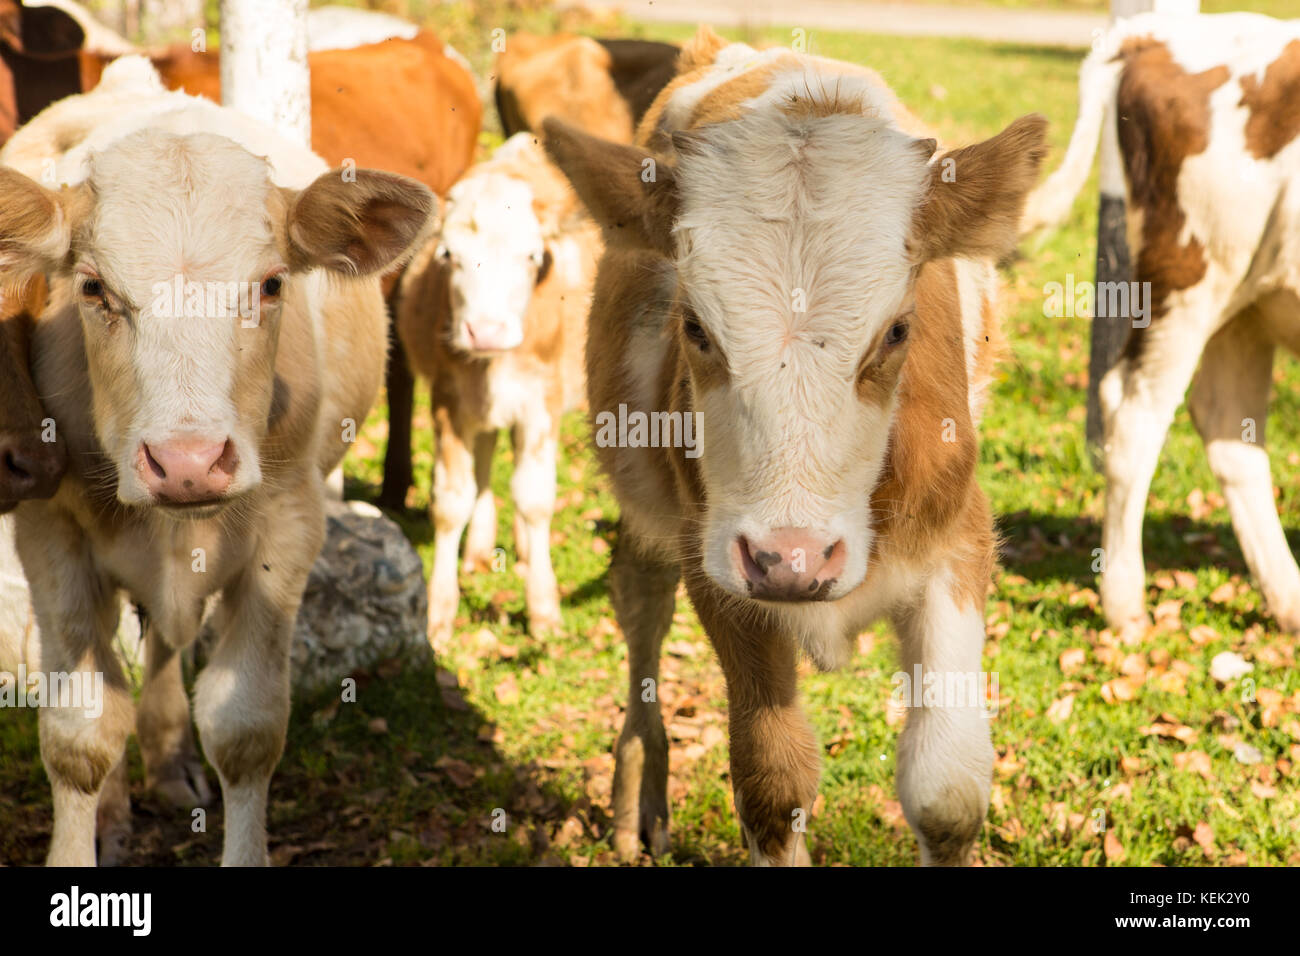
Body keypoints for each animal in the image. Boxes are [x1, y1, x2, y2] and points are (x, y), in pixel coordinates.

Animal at [0, 58, 433, 866]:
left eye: (271, 284)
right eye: (93, 288)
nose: (188, 462)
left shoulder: (289, 529)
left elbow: (244, 726)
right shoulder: (50, 532)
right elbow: (81, 734)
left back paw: (169, 763)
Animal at [395, 133, 598, 649]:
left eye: (531, 256)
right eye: (448, 255)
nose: (485, 332)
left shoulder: (542, 404)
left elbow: (535, 498)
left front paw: (544, 609)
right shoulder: (448, 401)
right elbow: (451, 501)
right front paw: (439, 613)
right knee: (485, 459)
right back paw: (480, 547)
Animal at [542, 27, 1046, 865]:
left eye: (898, 331)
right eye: (695, 326)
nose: (794, 559)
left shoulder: (959, 534)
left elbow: (947, 790)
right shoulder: (719, 562)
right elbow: (772, 782)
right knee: (640, 601)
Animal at [1021, 12, 1300, 638]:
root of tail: (1159, 31)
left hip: (1245, 302)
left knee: (1229, 427)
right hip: (1192, 273)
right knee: (1134, 416)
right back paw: (1125, 606)